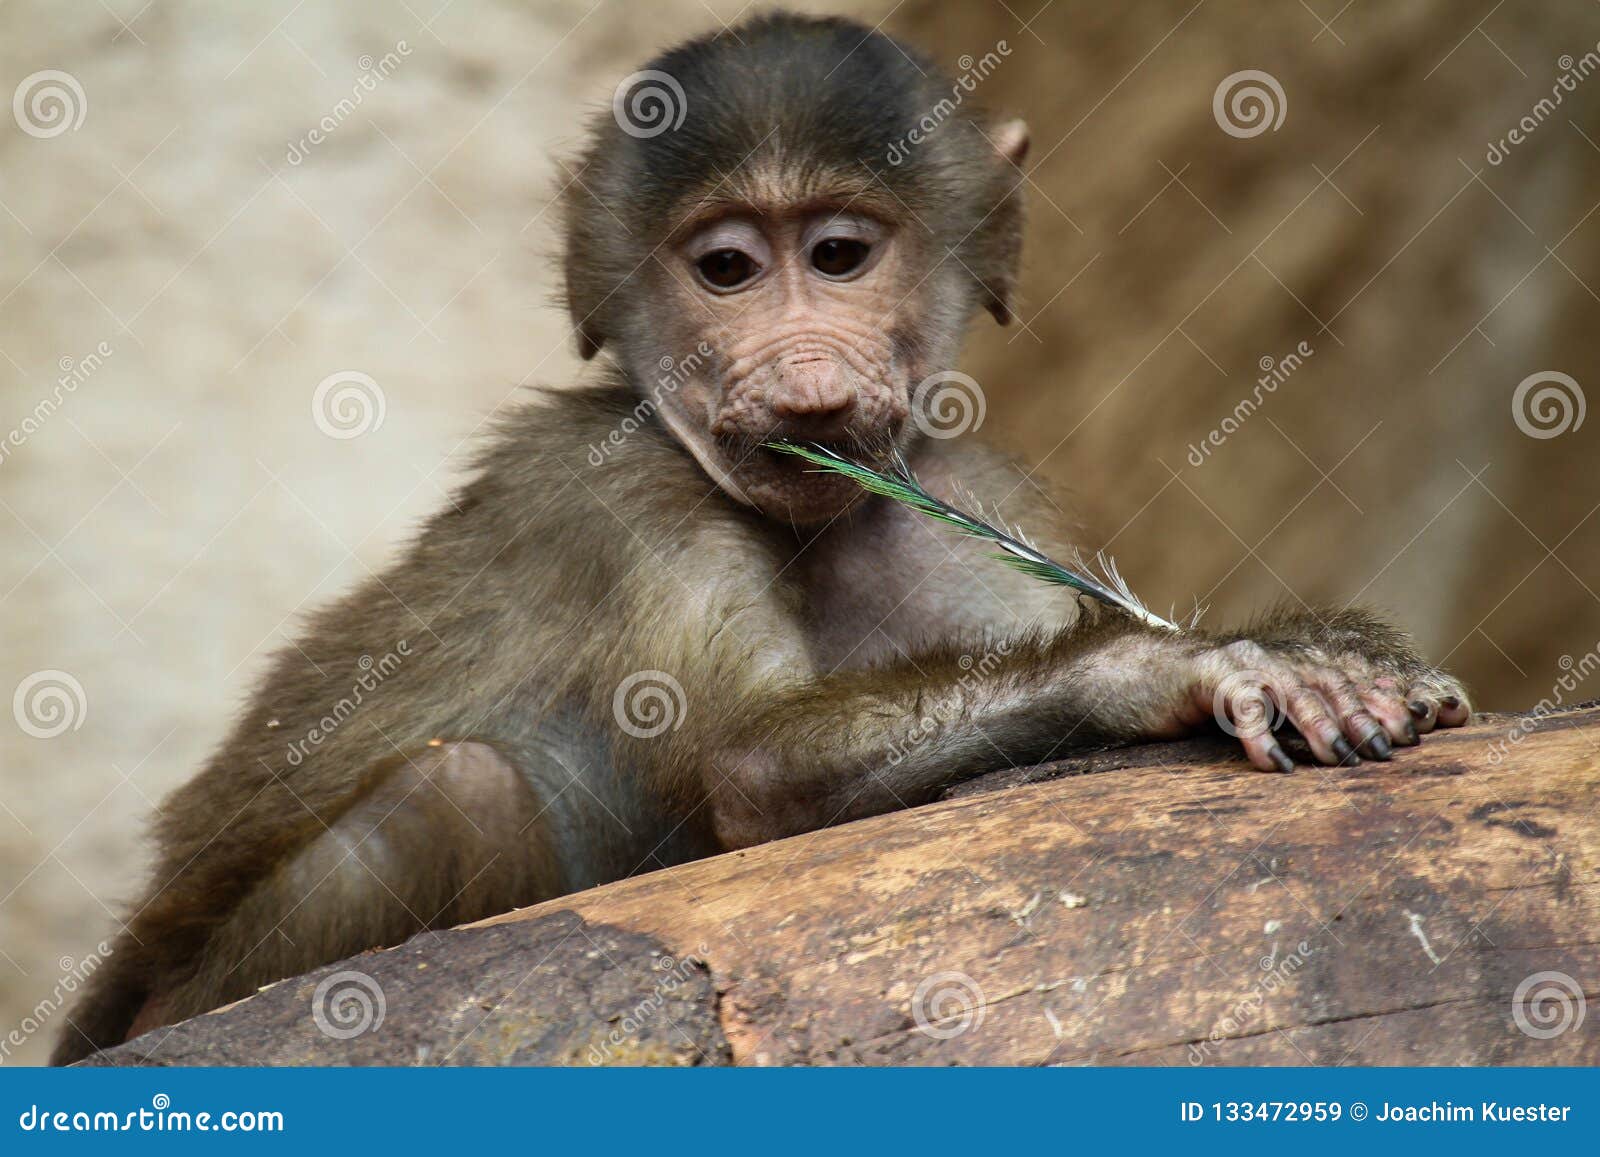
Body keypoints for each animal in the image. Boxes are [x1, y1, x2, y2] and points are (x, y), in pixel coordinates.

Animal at [53, 12, 1469, 1064]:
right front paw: (1196, 657)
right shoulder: (618, 497)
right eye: (725, 269)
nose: (798, 369)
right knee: (452, 797)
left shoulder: (967, 495)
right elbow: (750, 768)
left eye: (837, 254)